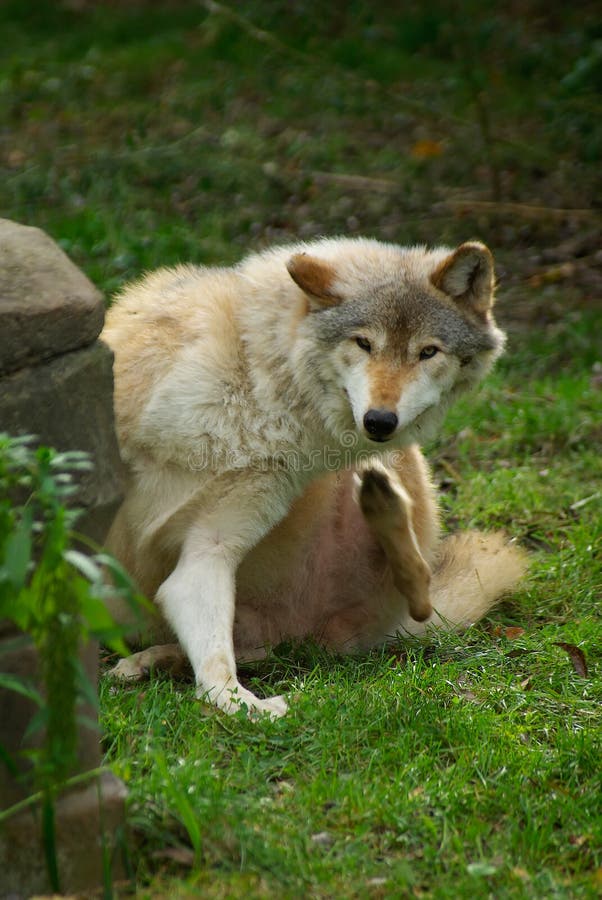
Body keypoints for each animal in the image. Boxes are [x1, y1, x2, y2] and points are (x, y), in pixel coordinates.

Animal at [102, 237, 526, 717]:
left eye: (428, 352)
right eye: (363, 343)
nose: (380, 420)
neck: (261, 388)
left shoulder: (214, 542)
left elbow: (215, 664)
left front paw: (239, 705)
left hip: (393, 475)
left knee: (420, 590)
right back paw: (145, 662)